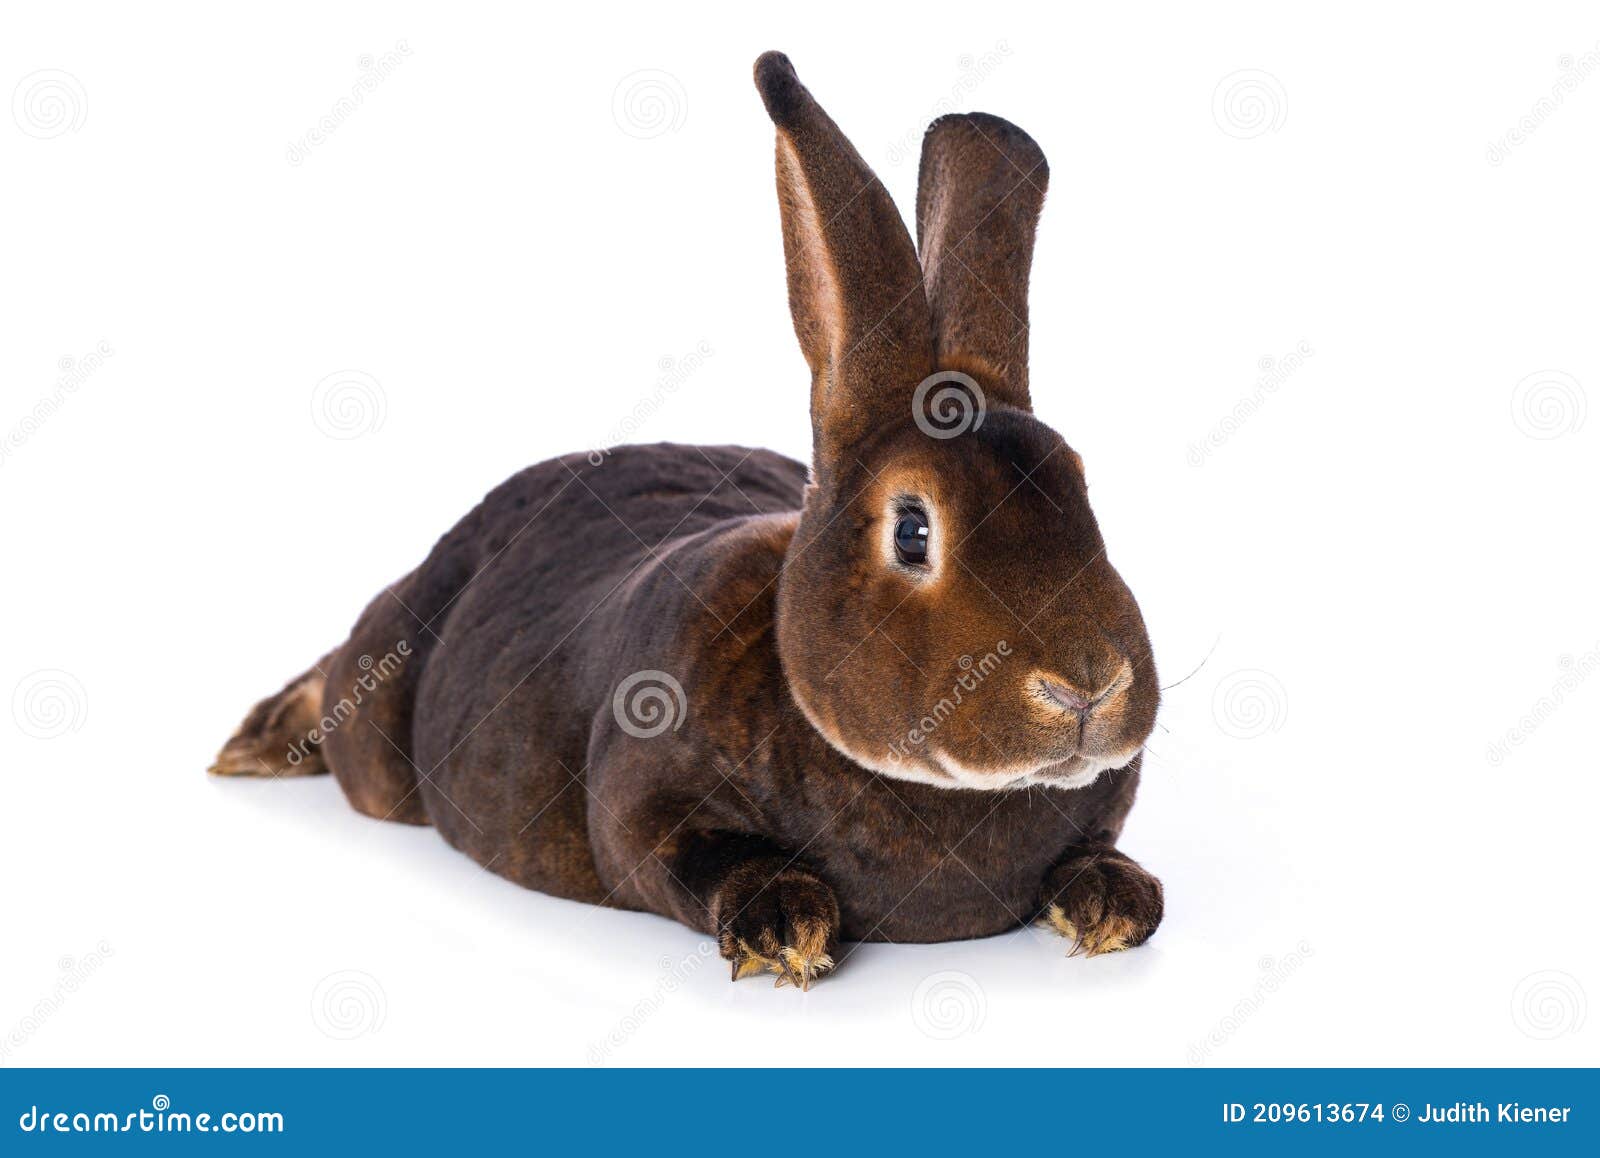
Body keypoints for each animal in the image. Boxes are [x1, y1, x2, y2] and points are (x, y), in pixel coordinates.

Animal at [211, 51, 1164, 988]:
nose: (1087, 687)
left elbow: (1094, 859)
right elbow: (697, 858)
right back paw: (256, 742)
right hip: (382, 727)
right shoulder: (642, 804)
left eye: (1081, 489)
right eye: (912, 530)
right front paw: (784, 929)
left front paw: (1117, 904)